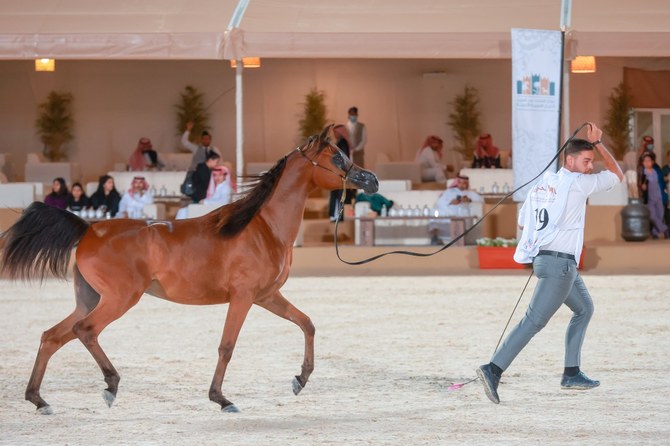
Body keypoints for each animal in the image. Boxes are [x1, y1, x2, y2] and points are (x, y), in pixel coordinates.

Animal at [0, 126, 378, 414]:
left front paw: (300, 379)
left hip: (90, 298)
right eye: (337, 157)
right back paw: (110, 385)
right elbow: (227, 346)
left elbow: (307, 324)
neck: (263, 228)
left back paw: (39, 400)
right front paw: (221, 399)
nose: (371, 180)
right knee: (85, 331)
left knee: (52, 336)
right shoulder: (243, 298)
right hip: (119, 299)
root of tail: (89, 229)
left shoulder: (268, 296)